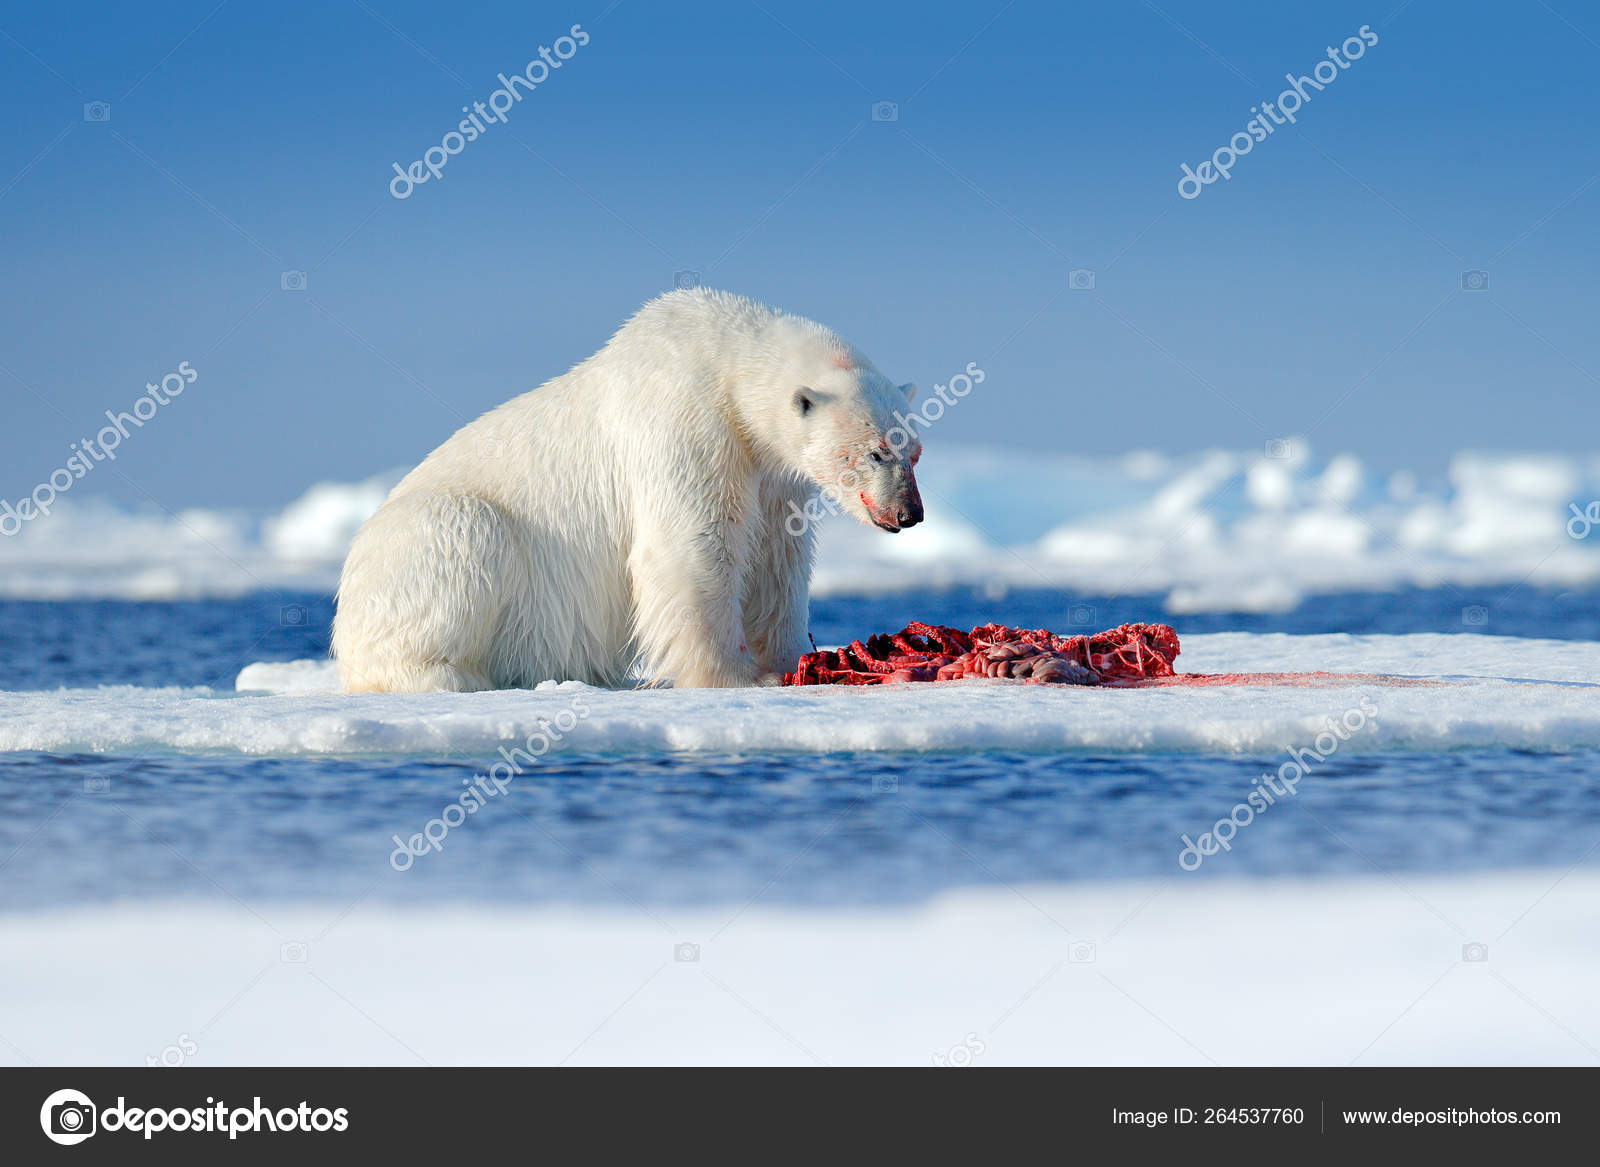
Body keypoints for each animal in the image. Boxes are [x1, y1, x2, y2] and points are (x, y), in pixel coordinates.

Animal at [332, 288, 923, 691]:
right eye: (877, 451)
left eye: (913, 452)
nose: (910, 514)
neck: (724, 361)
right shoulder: (687, 424)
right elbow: (692, 545)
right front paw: (731, 674)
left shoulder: (772, 471)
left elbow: (778, 560)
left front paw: (790, 661)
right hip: (427, 543)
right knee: (467, 537)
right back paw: (454, 677)